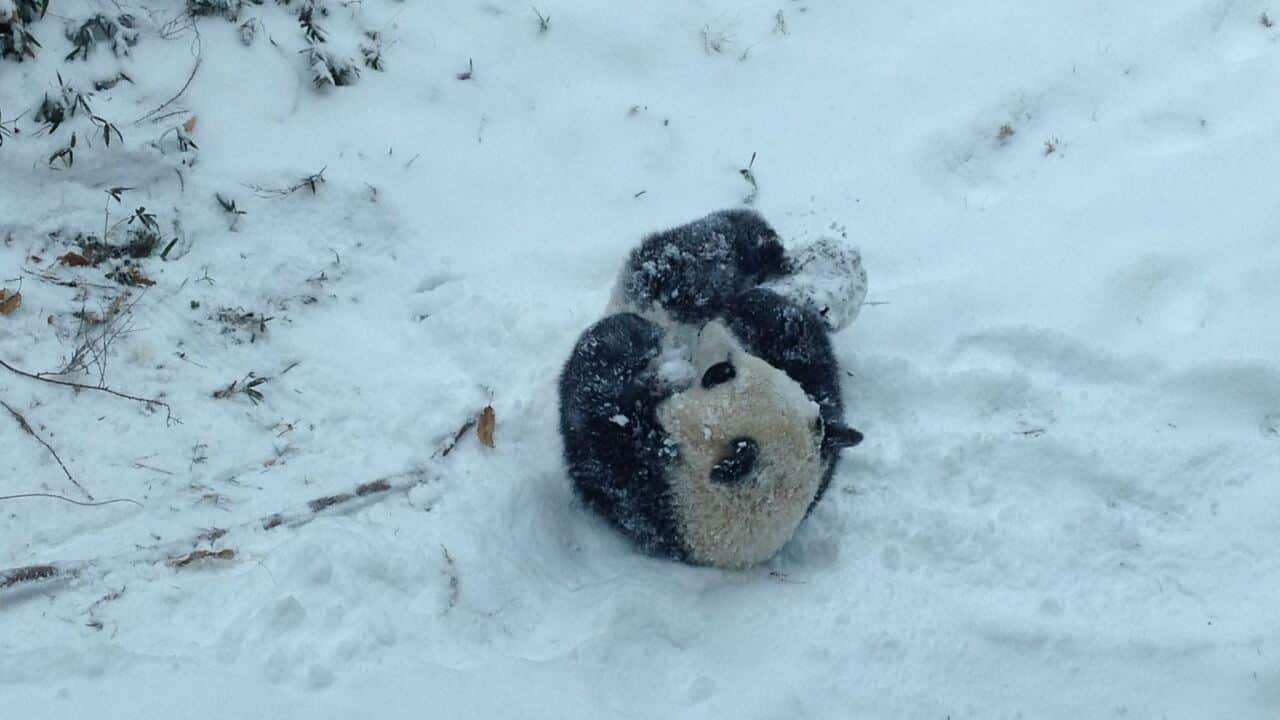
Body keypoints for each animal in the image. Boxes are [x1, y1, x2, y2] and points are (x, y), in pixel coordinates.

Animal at [559, 209, 865, 568]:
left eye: (720, 373)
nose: (712, 327)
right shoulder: (819, 406)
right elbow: (803, 344)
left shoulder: (640, 484)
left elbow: (588, 395)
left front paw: (635, 338)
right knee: (708, 252)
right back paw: (762, 240)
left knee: (683, 258)